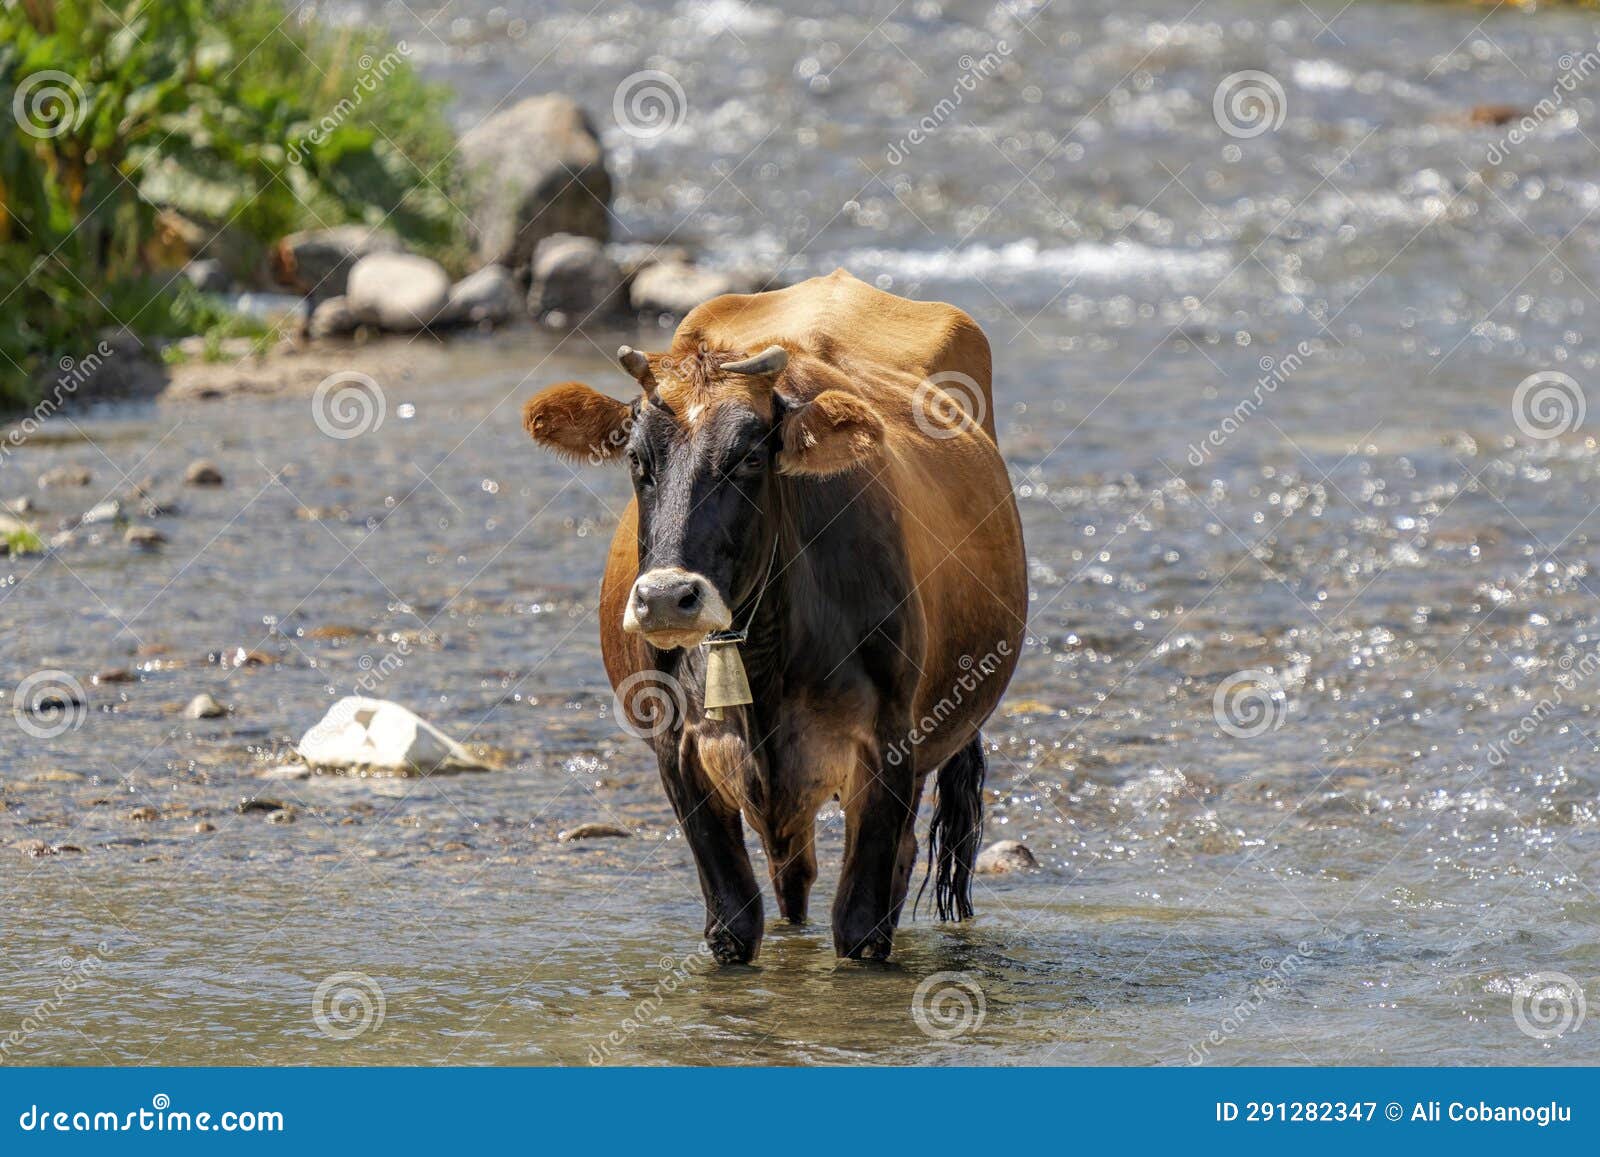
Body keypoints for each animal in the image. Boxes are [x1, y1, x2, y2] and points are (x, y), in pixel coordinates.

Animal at [521, 269, 1026, 963]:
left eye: (750, 458)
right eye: (636, 459)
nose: (667, 598)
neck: (759, 653)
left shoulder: (890, 746)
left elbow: (861, 923)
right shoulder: (677, 748)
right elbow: (733, 921)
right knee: (794, 875)